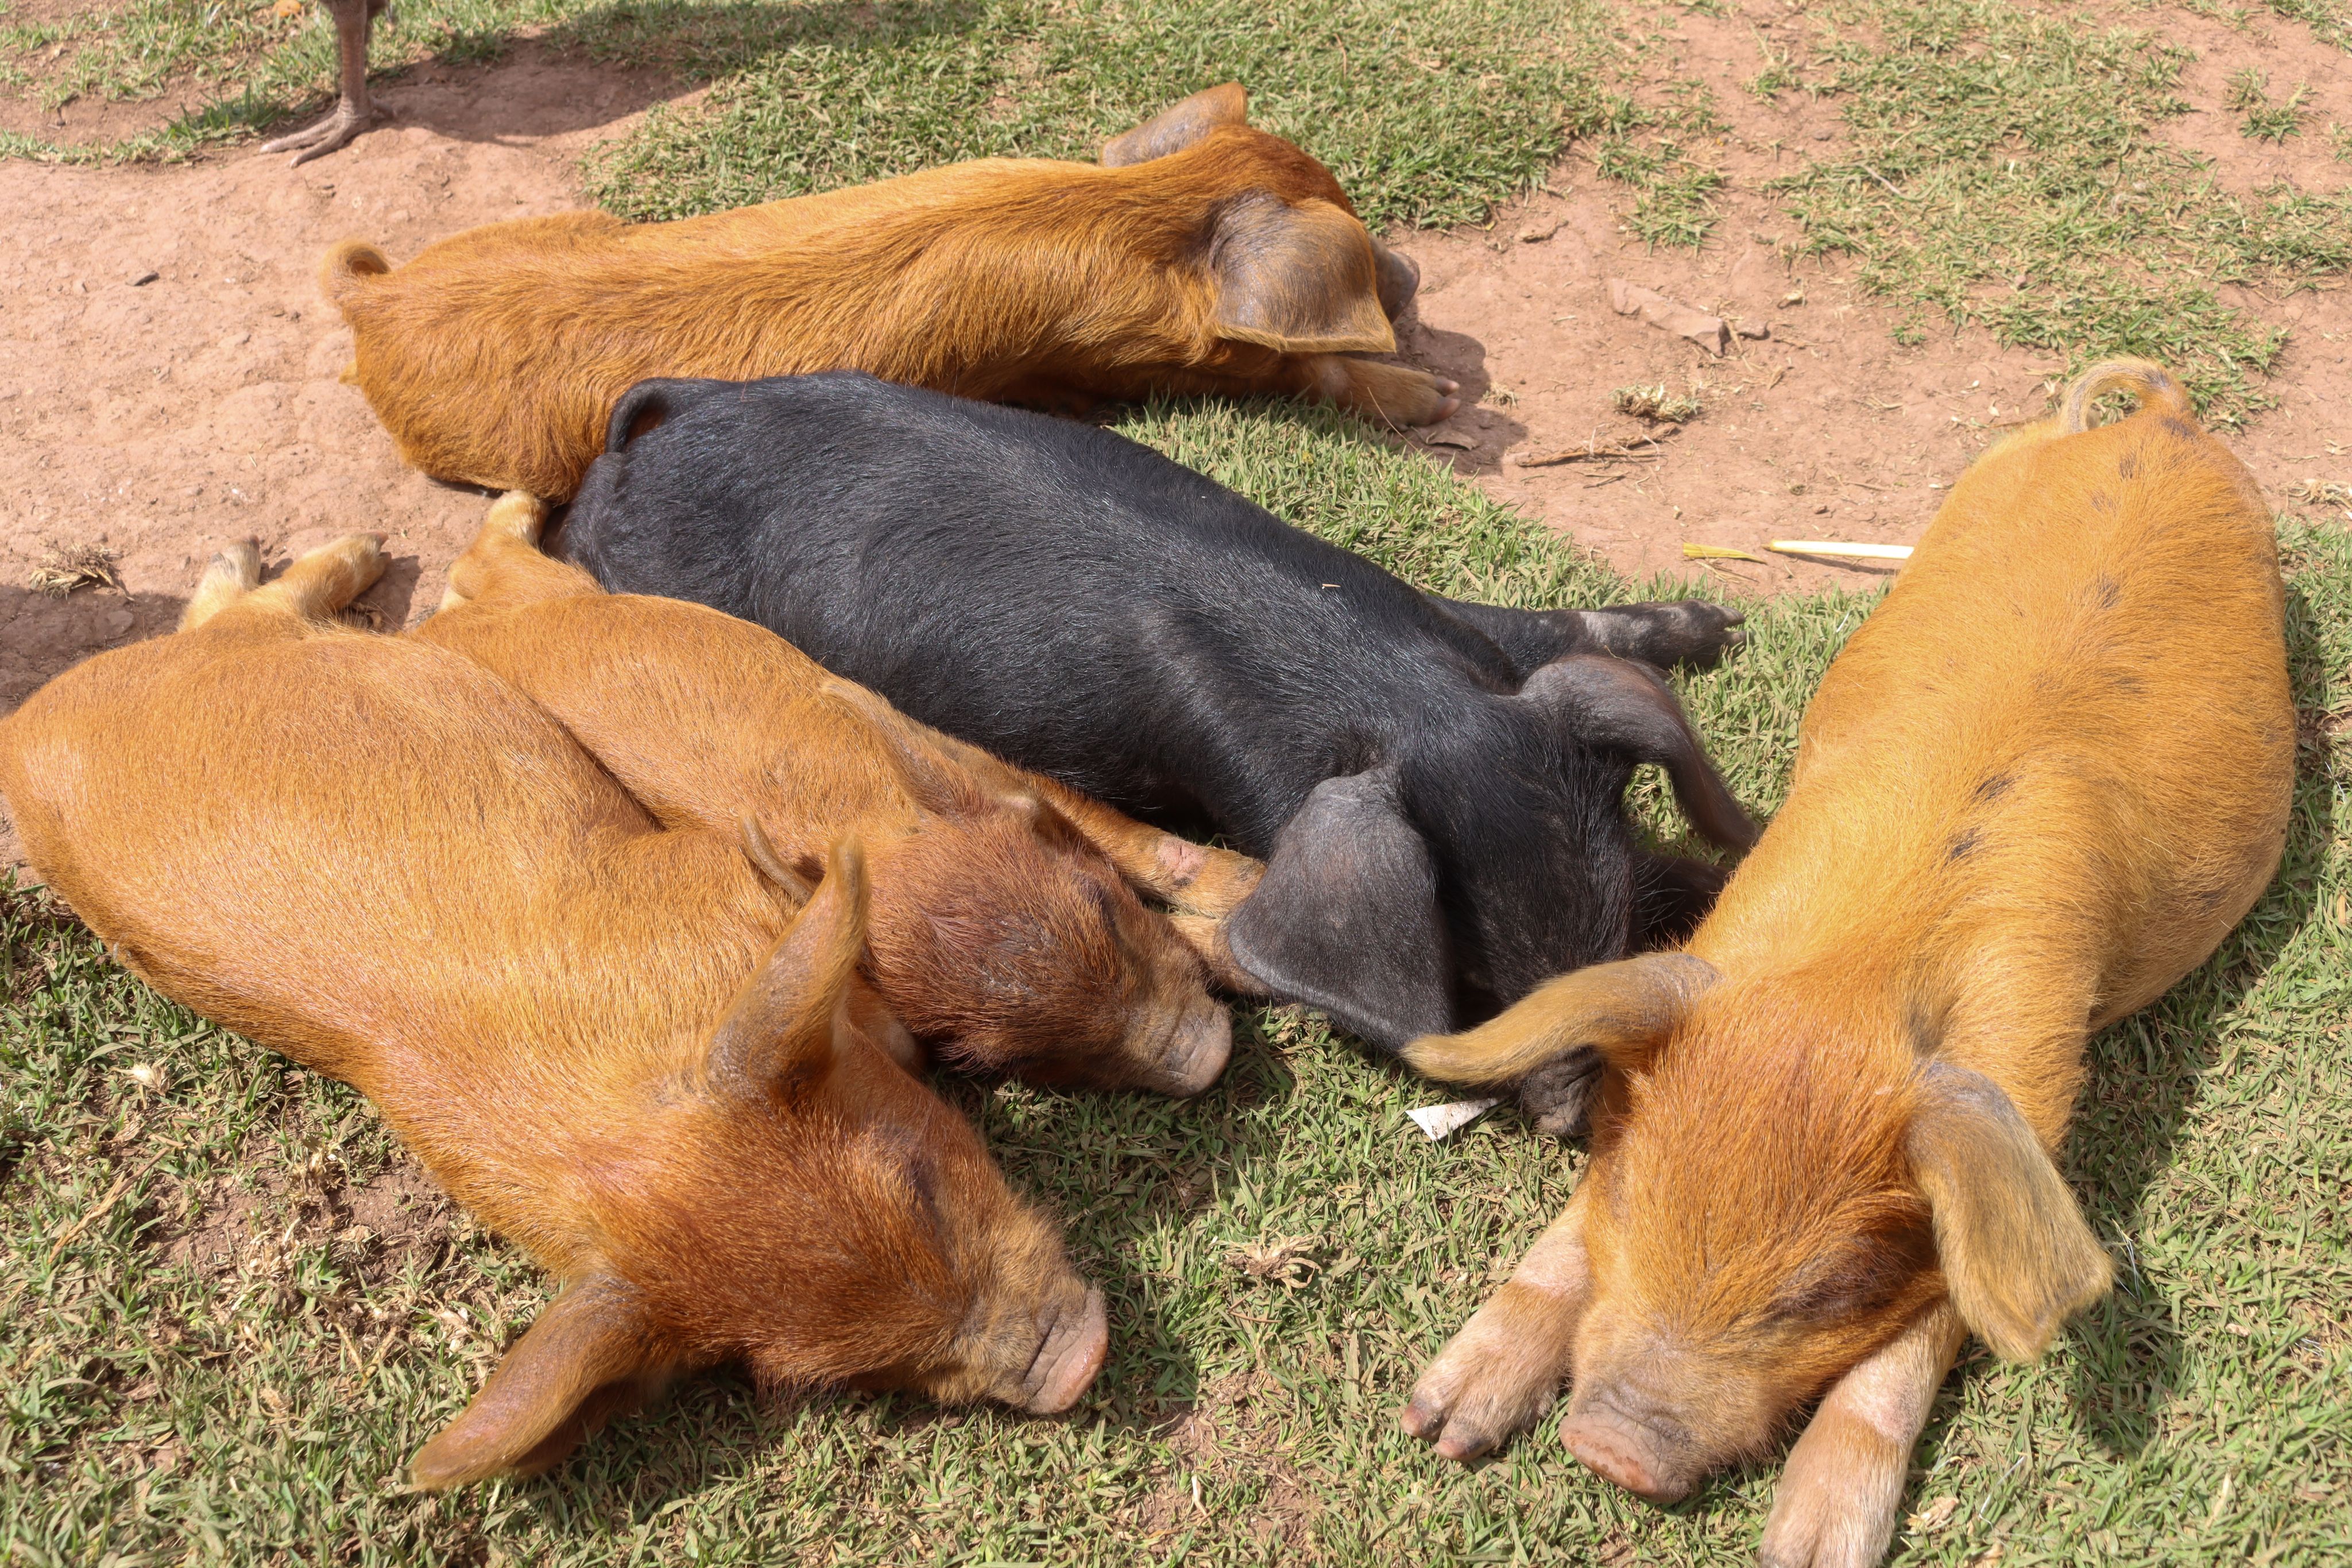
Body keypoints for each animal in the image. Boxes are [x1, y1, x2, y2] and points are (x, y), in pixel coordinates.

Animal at [0, 534, 1109, 1485]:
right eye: (830, 1376)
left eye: (918, 1184)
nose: (1074, 1363)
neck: (612, 1115)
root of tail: (25, 724)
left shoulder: (701, 873)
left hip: (249, 646)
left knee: (243, 603)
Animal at [319, 83, 1455, 501]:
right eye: (1359, 238)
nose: (1409, 273)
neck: (1132, 213)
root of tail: (374, 302)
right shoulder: (1122, 366)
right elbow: (1290, 376)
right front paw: (1437, 401)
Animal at [419, 491, 1263, 1095]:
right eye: (999, 1062)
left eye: (1100, 906)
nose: (1207, 1055)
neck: (864, 826)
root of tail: (451, 637)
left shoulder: (982, 763)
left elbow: (1127, 837)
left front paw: (1248, 890)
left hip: (548, 585)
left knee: (483, 558)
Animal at [557, 370, 1756, 1059]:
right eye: (1473, 968)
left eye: (1614, 900)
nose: (1572, 1106)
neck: (1396, 693)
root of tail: (651, 430)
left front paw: (1722, 631)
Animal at [1394, 360, 2295, 1567]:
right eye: (1629, 1187)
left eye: (1823, 1293)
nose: (1608, 1451)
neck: (1857, 974)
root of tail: (2156, 422)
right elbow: (1559, 1243)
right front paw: (1438, 1426)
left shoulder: (2024, 1089)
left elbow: (1914, 1345)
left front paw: (1807, 1551)